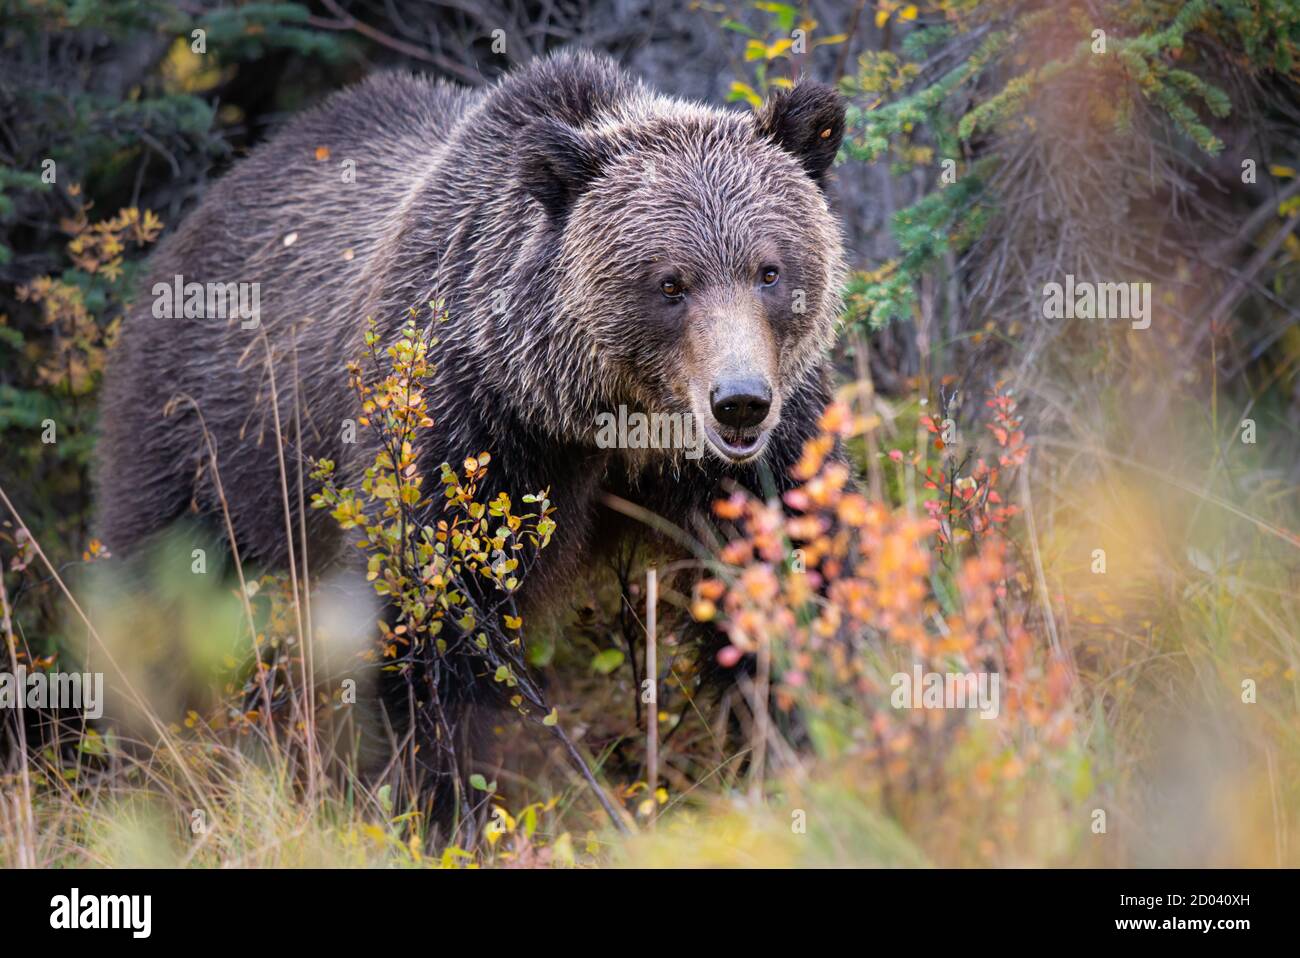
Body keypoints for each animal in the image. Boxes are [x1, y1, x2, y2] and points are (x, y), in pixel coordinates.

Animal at [94, 50, 847, 834]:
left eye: (769, 270)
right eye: (670, 283)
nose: (739, 402)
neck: (611, 423)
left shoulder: (761, 461)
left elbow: (788, 577)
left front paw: (794, 750)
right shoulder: (467, 434)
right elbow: (433, 624)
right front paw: (449, 806)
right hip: (206, 448)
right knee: (157, 606)